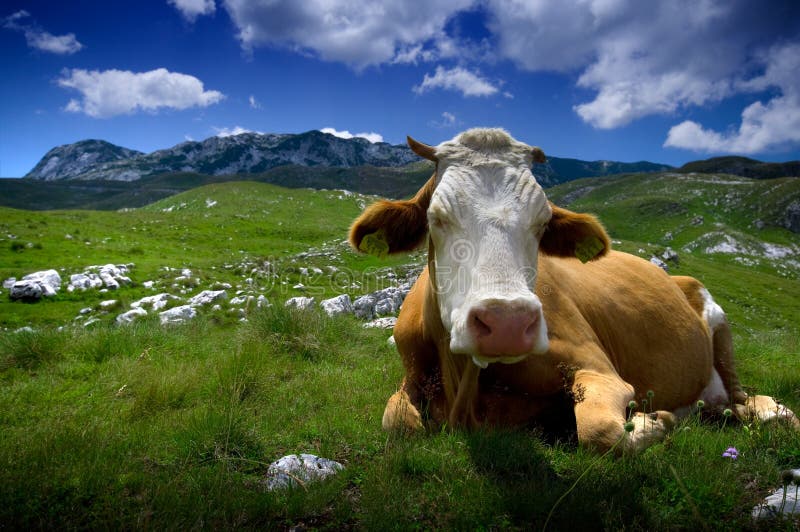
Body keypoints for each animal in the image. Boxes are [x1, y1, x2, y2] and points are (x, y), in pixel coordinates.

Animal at [349, 128, 798, 454]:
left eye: (543, 222)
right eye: (436, 217)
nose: (507, 321)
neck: (467, 391)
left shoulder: (597, 365)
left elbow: (600, 429)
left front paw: (656, 420)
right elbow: (397, 423)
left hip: (718, 322)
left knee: (743, 400)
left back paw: (772, 413)